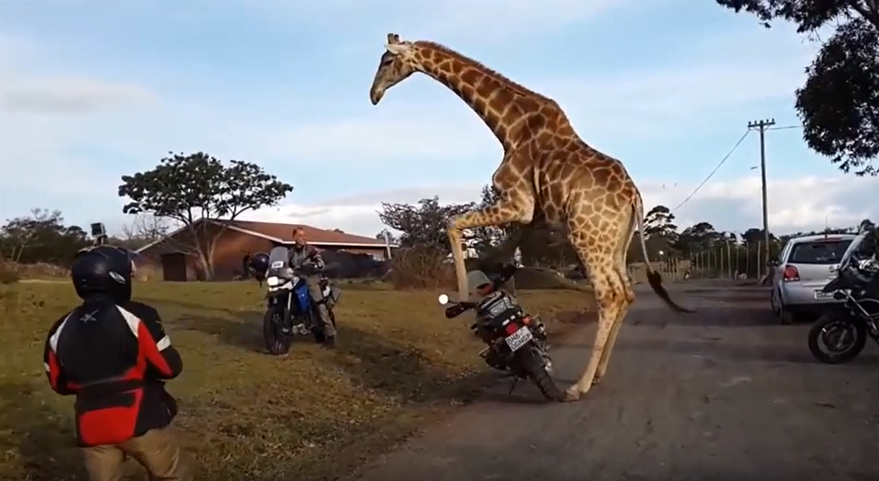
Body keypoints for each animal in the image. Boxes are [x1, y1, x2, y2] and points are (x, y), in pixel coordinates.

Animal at [369, 33, 693, 401]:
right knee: (626, 292)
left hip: (586, 237)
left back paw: (579, 386)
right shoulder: (532, 217)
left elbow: (453, 224)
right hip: (614, 243)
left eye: (387, 61)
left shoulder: (518, 203)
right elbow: (499, 252)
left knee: (609, 296)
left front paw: (464, 297)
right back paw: (597, 374)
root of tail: (634, 198)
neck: (509, 127)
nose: (374, 95)